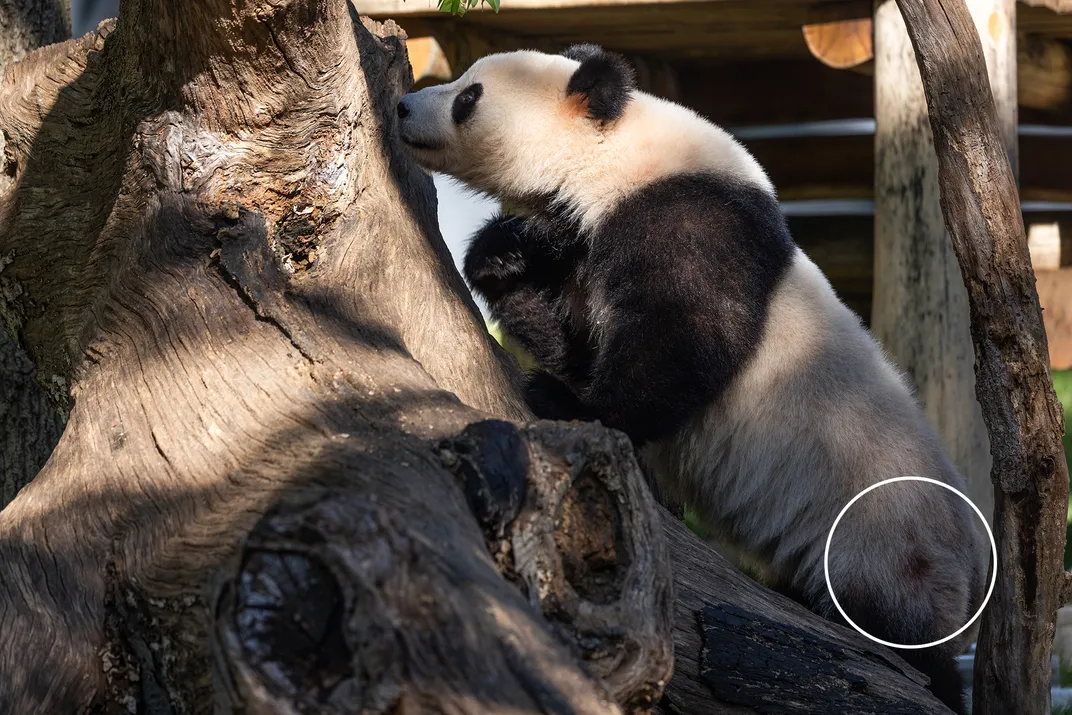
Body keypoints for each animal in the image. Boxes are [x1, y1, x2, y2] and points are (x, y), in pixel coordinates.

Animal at [396, 44, 990, 713]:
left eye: (468, 97)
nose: (404, 106)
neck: (610, 154)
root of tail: (974, 570)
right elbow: (573, 332)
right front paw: (501, 256)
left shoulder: (686, 220)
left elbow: (682, 342)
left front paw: (569, 402)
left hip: (884, 542)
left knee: (900, 637)